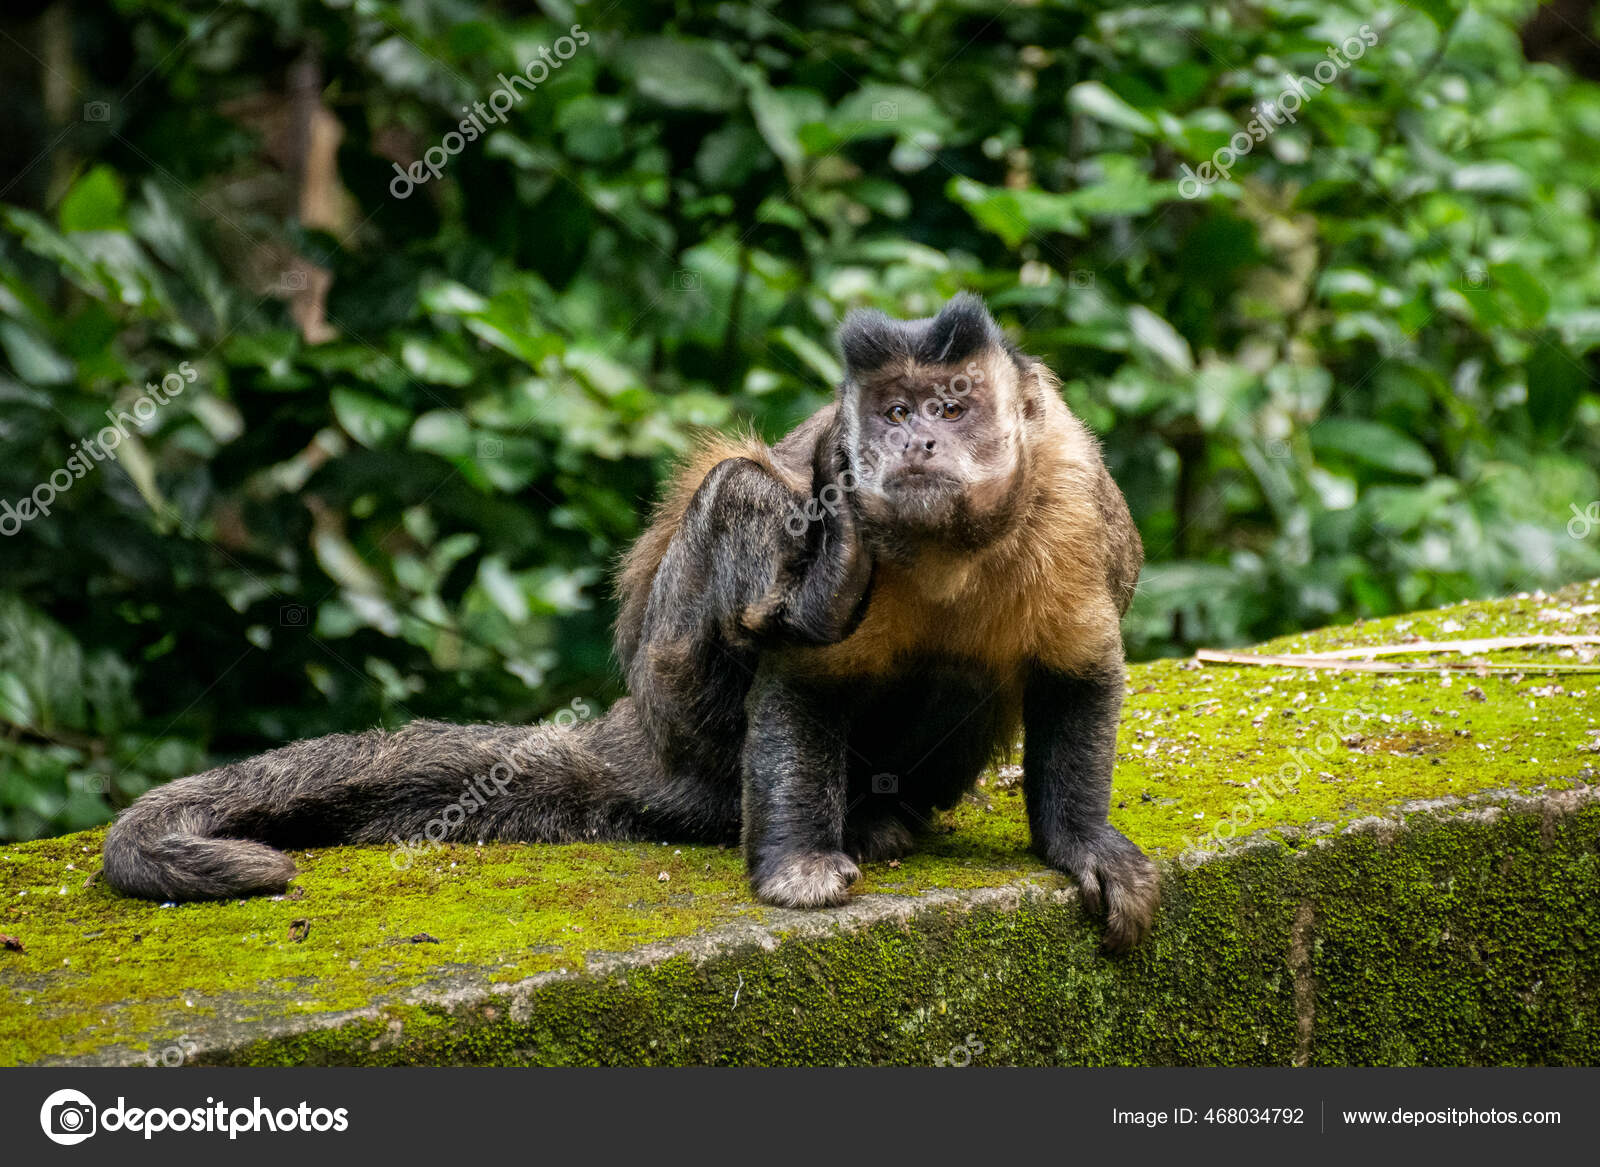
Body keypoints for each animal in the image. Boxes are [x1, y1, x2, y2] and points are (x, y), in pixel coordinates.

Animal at [101, 294, 1159, 951]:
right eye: (895, 411)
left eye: (953, 403)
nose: (919, 442)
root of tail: (640, 730)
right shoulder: (840, 485)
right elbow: (800, 684)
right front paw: (796, 868)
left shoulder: (1073, 500)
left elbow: (1081, 673)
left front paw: (1083, 848)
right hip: (679, 690)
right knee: (740, 491)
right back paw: (819, 620)